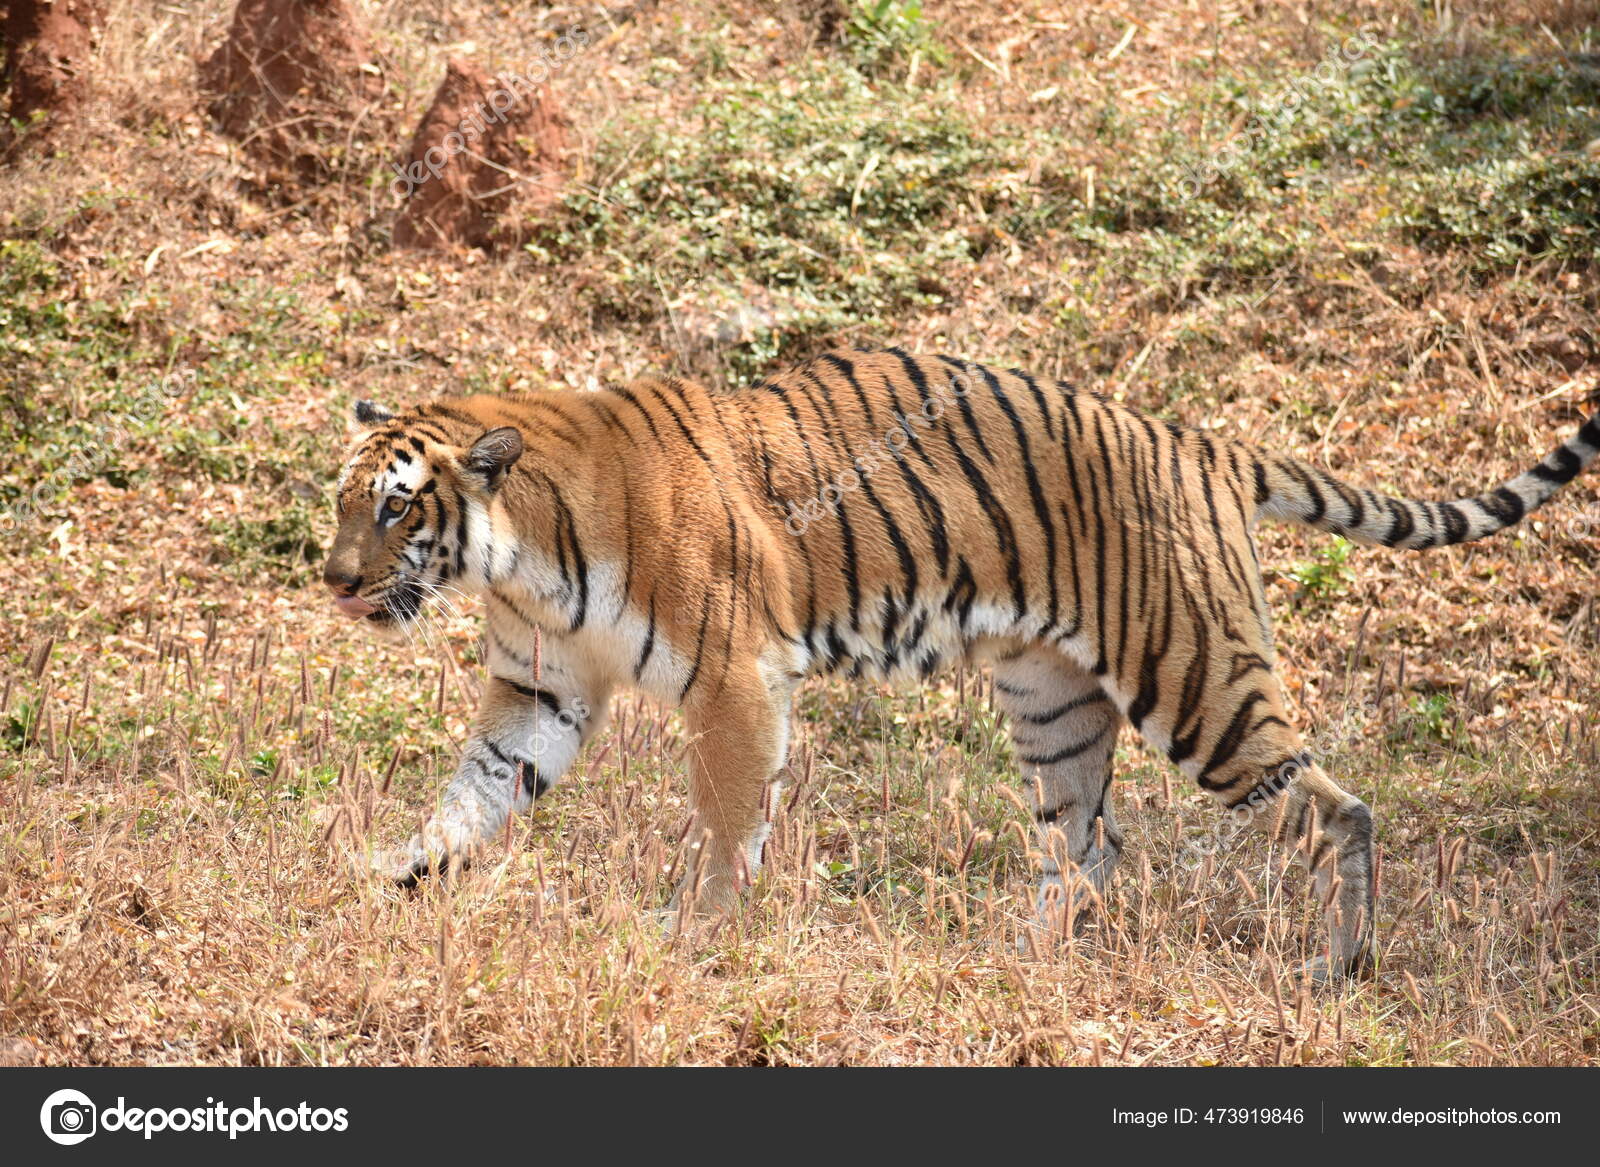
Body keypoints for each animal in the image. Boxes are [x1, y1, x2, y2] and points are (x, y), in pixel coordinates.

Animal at [323, 347, 1599, 982]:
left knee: (1336, 811)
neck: (518, 555)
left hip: (1197, 684)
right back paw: (1019, 961)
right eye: (342, 500)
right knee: (1089, 843)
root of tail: (1192, 437)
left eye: (395, 509)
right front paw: (385, 884)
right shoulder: (540, 690)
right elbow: (472, 800)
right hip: (1050, 699)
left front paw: (696, 938)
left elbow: (728, 824)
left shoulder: (735, 678)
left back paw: (1340, 968)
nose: (333, 580)